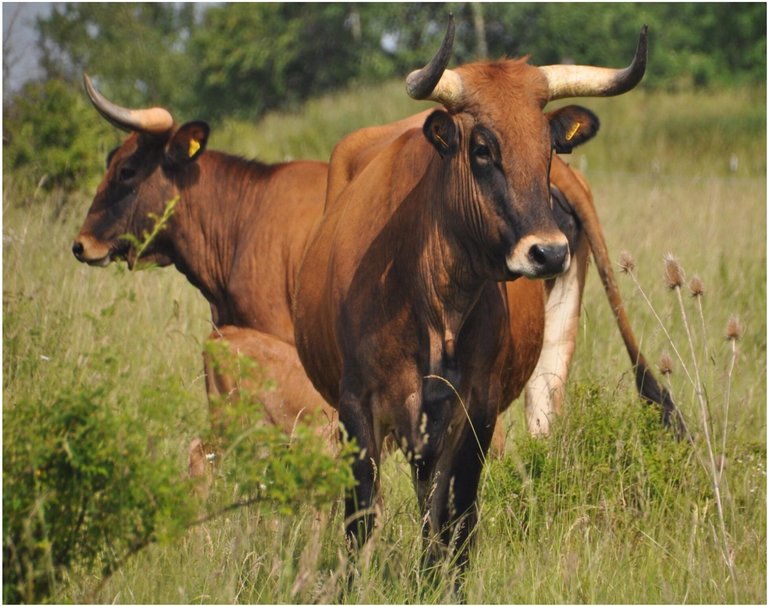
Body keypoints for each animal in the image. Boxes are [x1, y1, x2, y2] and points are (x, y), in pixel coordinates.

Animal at [293, 17, 668, 580]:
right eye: (483, 149)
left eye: (548, 148)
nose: (548, 251)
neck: (432, 302)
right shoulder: (356, 409)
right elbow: (361, 521)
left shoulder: (476, 412)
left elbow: (457, 521)